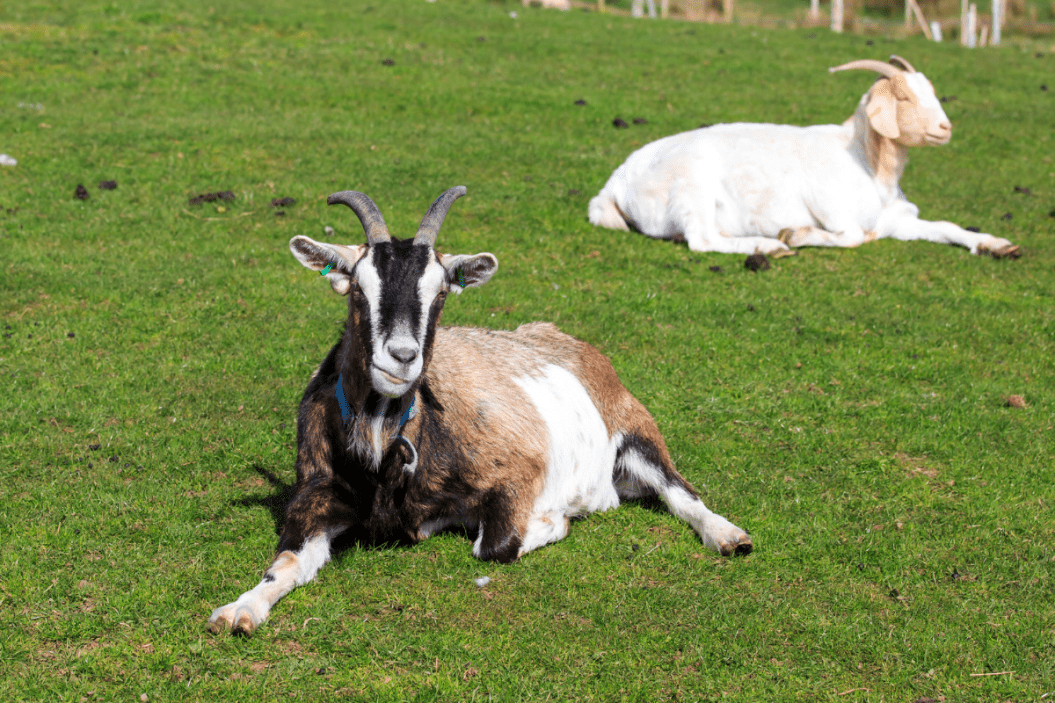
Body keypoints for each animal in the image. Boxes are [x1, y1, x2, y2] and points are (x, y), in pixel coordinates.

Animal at [208, 187, 753, 636]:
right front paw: (240, 610)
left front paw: (554, 521)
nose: (401, 357)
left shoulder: (519, 469)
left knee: (680, 490)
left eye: (441, 293)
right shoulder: (316, 497)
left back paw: (729, 536)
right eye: (359, 288)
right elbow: (285, 562)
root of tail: (569, 342)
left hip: (637, 431)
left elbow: (495, 544)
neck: (387, 445)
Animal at [588, 56, 1019, 258]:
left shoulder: (896, 219)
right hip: (691, 185)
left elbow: (946, 226)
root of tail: (614, 184)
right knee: (702, 240)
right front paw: (794, 234)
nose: (945, 128)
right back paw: (767, 247)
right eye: (904, 97)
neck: (866, 164)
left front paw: (996, 244)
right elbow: (853, 238)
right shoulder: (831, 207)